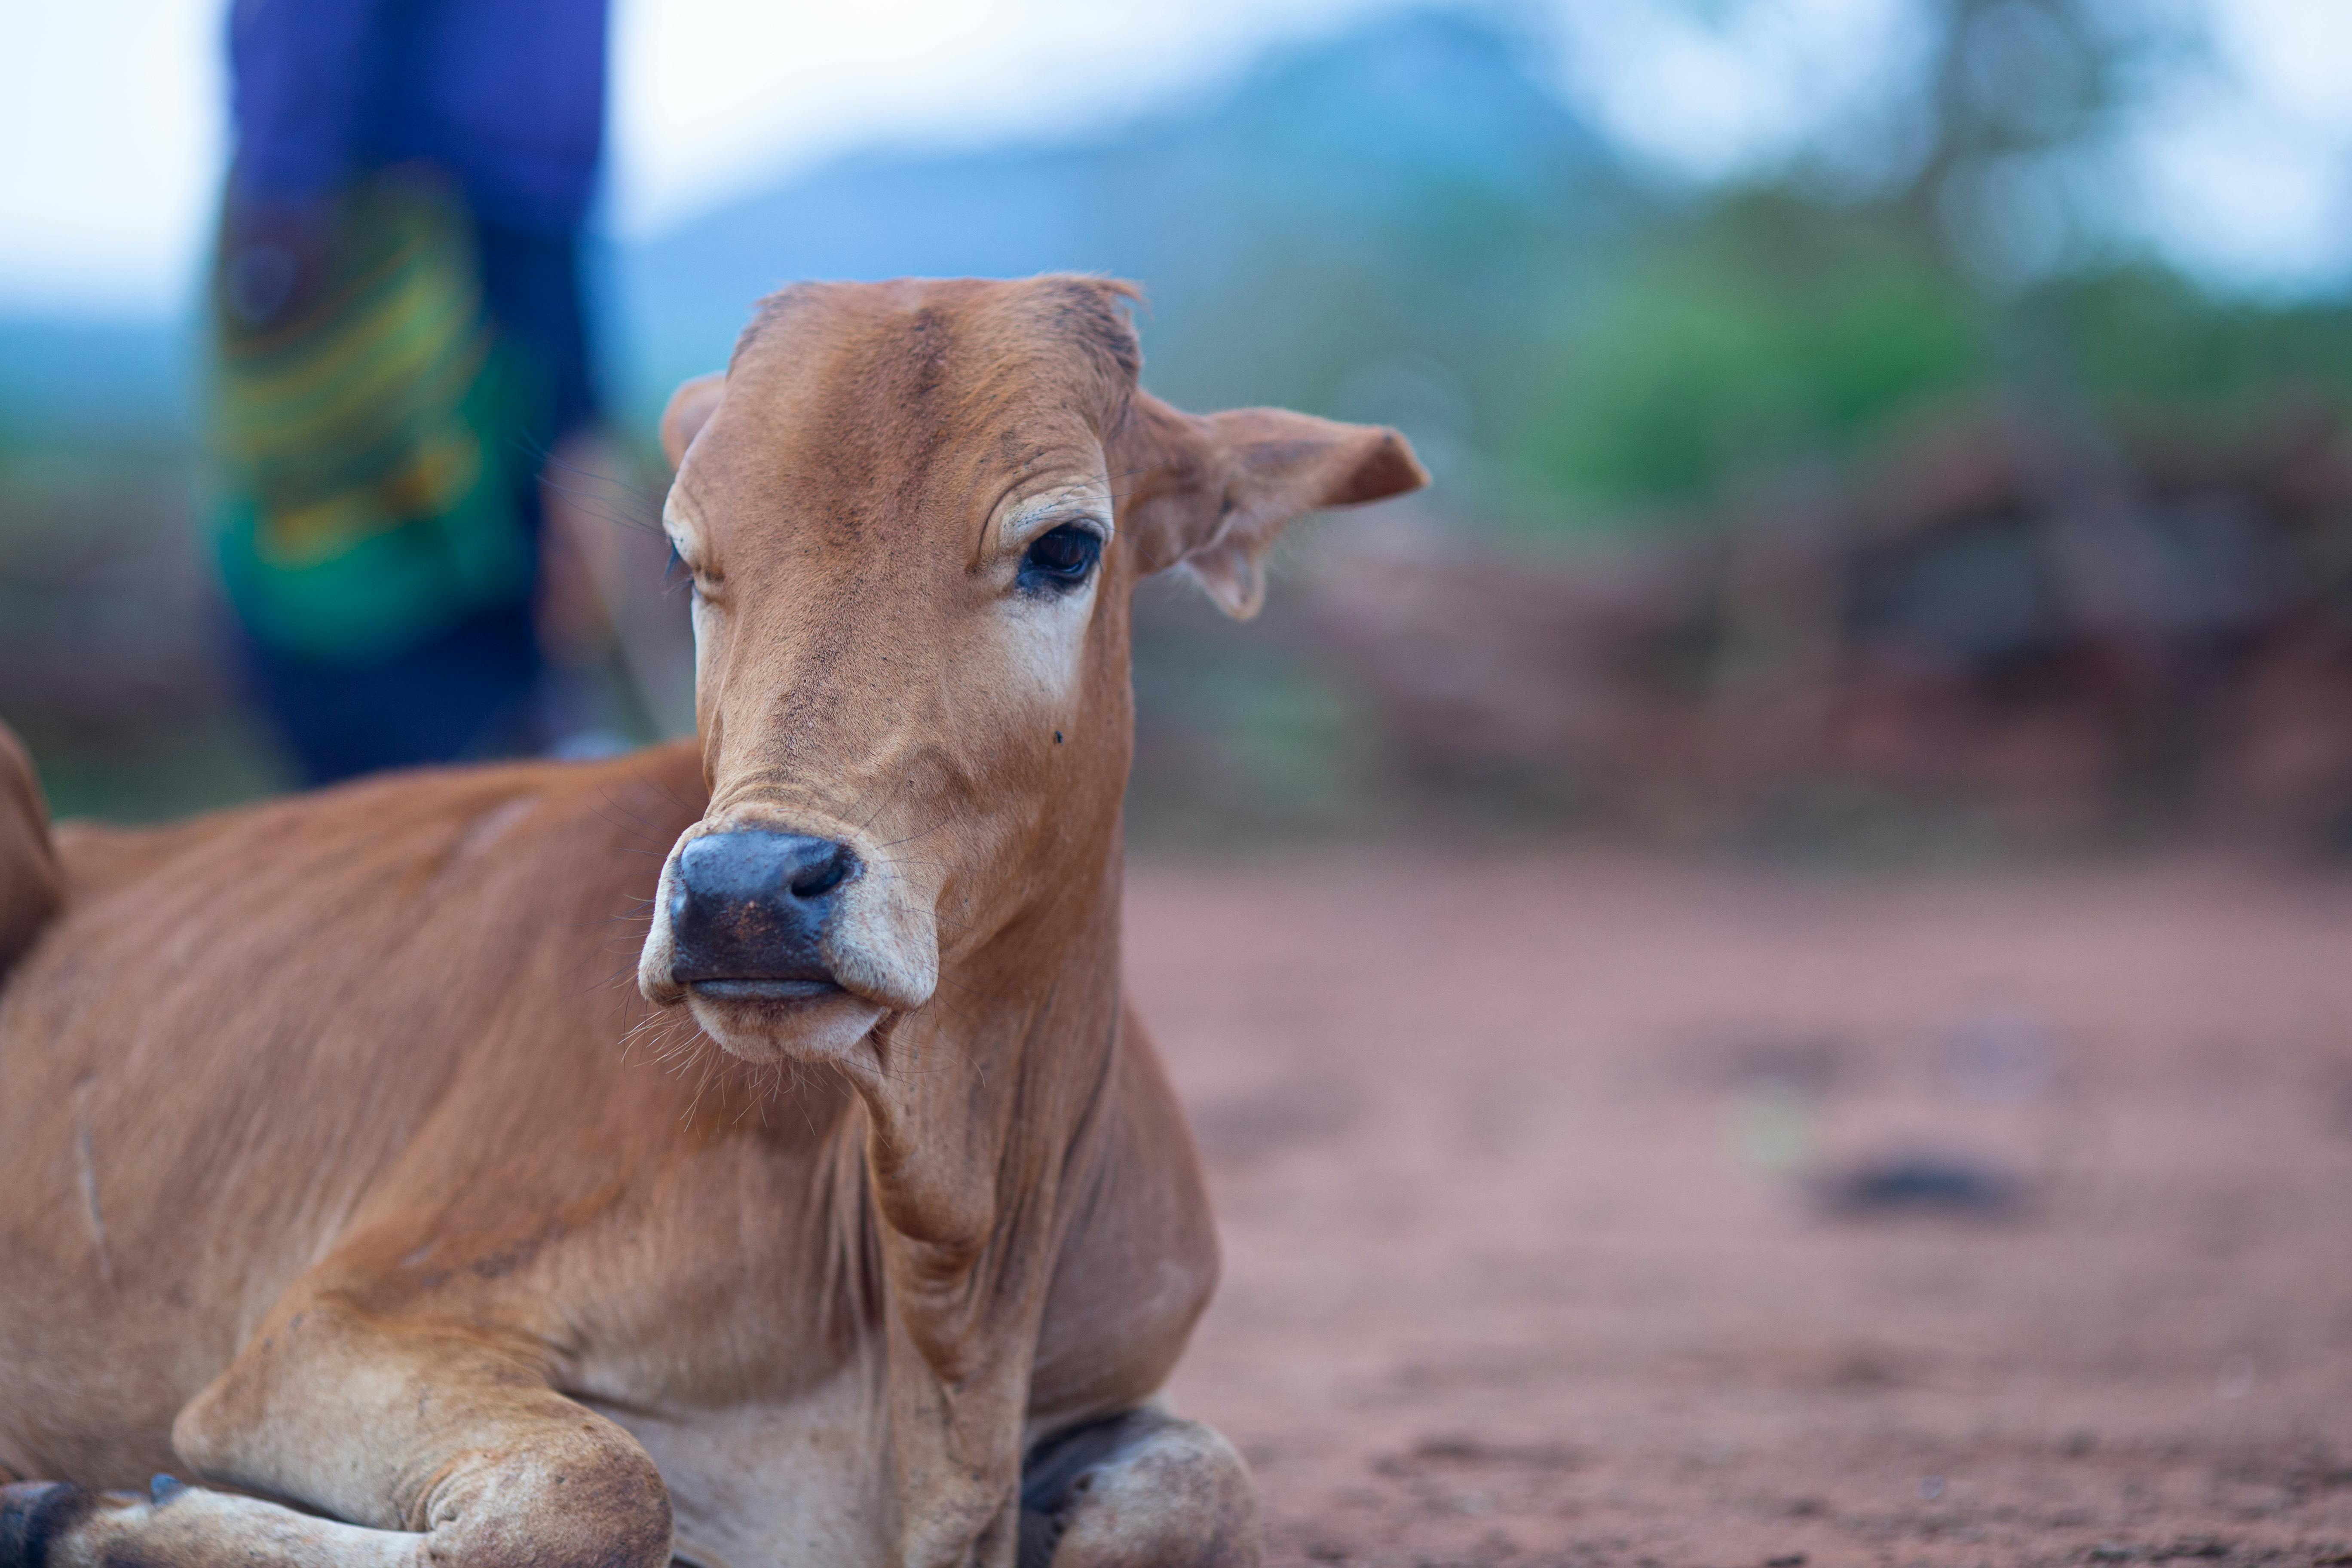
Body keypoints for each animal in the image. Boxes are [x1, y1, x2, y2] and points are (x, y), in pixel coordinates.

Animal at [0, 275, 1426, 1568]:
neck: (943, 1287)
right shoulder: (334, 1329)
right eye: (689, 559)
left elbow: (1200, 1488)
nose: (743, 891)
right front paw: (86, 1514)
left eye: (1068, 546)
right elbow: (598, 1494)